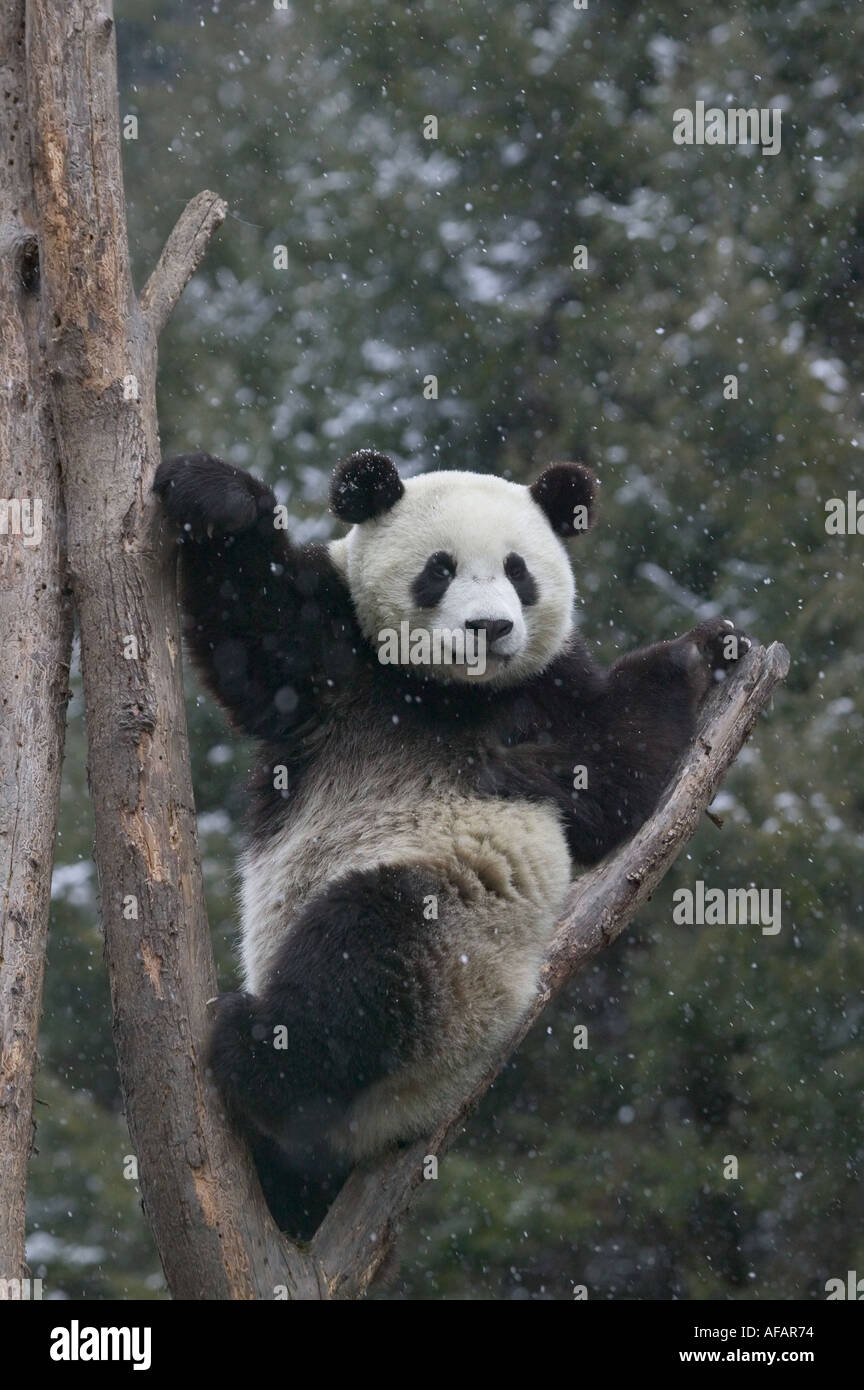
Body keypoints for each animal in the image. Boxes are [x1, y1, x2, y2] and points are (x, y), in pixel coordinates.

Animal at [154, 448, 749, 1239]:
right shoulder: (336, 661)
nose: (490, 628)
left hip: (454, 967)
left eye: (519, 571)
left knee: (368, 949)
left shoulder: (547, 691)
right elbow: (255, 636)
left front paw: (703, 652)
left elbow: (611, 774)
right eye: (439, 569)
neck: (441, 692)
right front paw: (216, 495)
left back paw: (263, 1052)